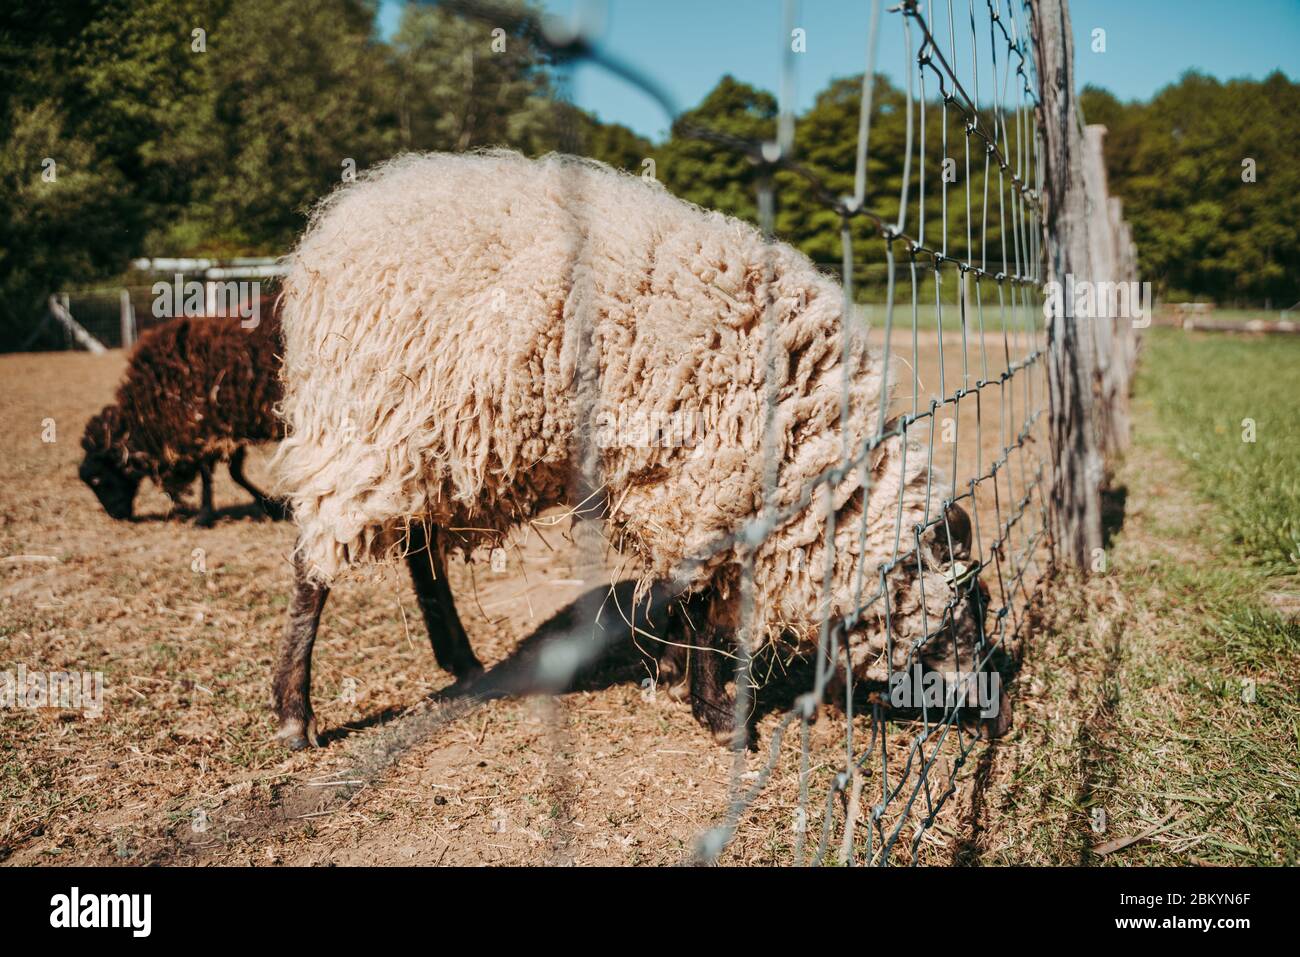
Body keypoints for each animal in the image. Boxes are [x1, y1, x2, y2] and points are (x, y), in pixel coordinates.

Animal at [79, 310, 289, 526]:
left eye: (97, 478)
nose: (116, 515)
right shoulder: (224, 429)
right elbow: (234, 473)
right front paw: (273, 506)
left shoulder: (205, 428)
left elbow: (211, 472)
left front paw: (204, 516)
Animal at [270, 149, 990, 749]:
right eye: (967, 610)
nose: (992, 713)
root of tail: (344, 215)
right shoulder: (707, 488)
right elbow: (706, 613)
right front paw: (719, 715)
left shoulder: (679, 493)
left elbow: (682, 597)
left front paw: (670, 671)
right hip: (366, 421)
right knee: (313, 565)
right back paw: (294, 714)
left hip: (430, 445)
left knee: (420, 552)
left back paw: (462, 661)